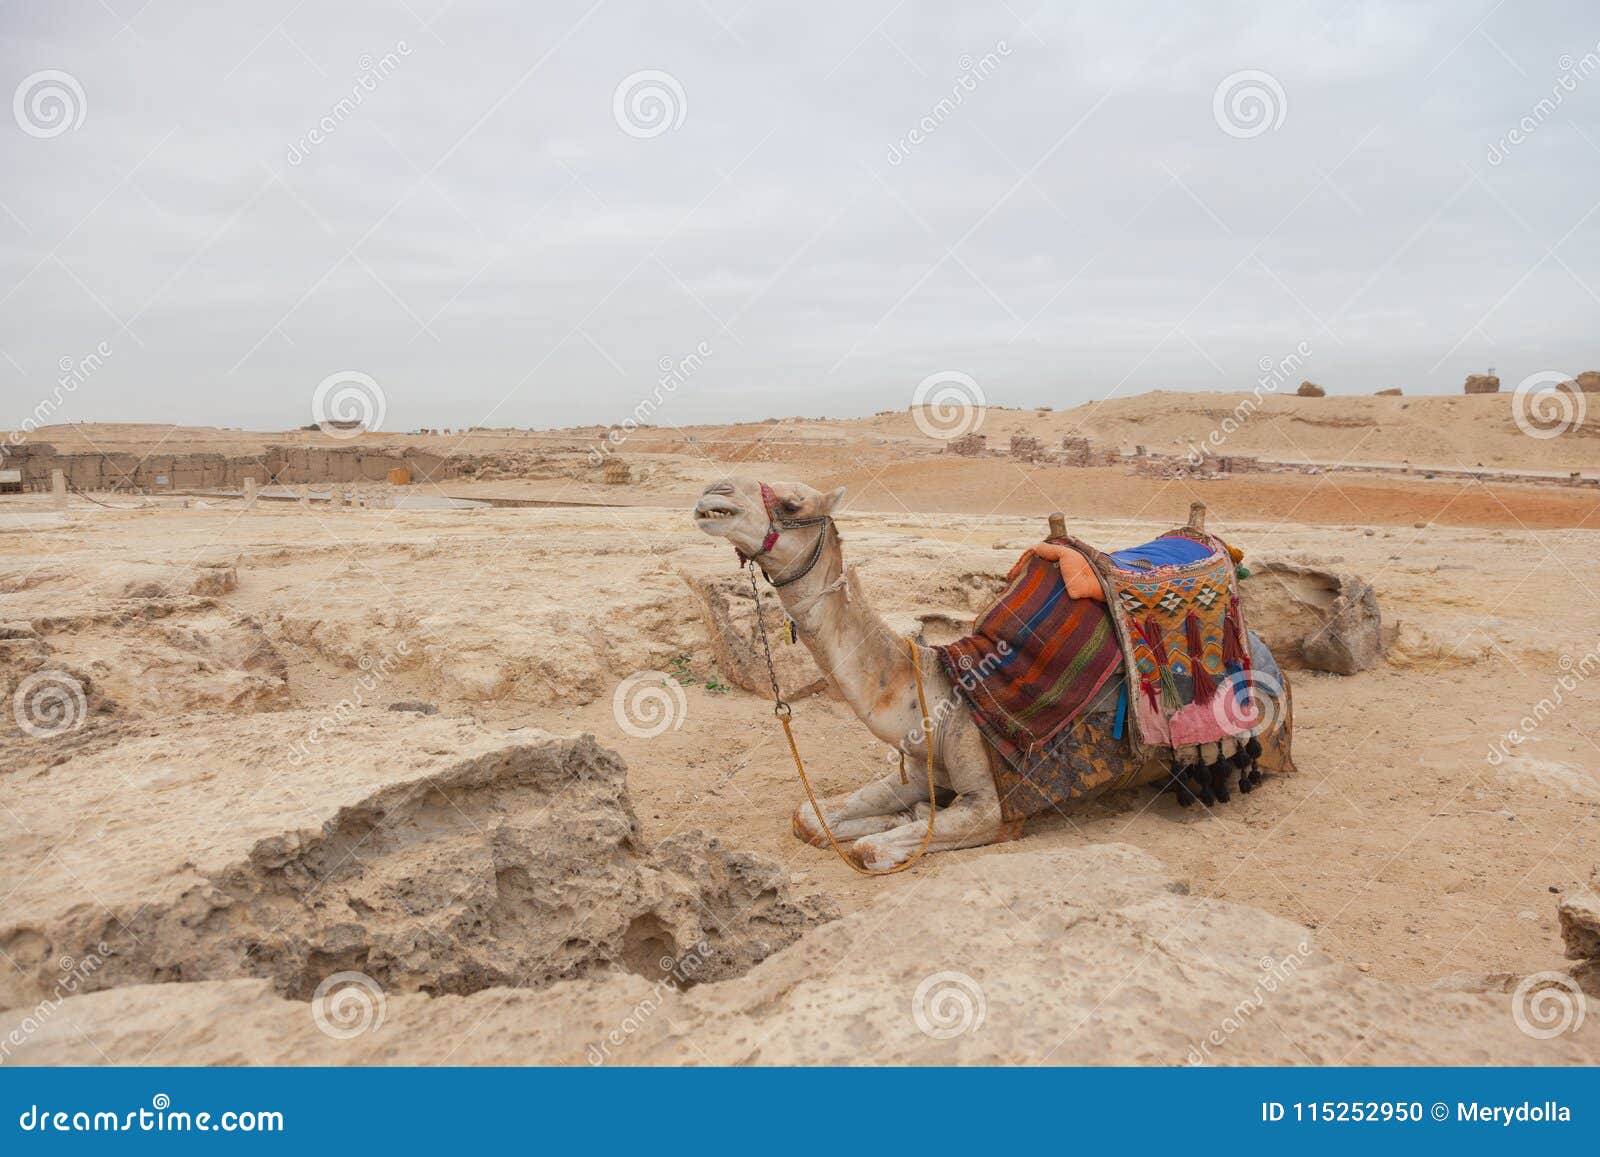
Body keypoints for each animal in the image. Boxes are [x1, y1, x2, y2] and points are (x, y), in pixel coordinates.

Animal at [692, 475, 1288, 872]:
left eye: (791, 501)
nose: (711, 497)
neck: (932, 692)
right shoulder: (919, 769)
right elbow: (809, 817)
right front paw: (876, 818)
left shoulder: (989, 803)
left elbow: (870, 848)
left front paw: (891, 826)